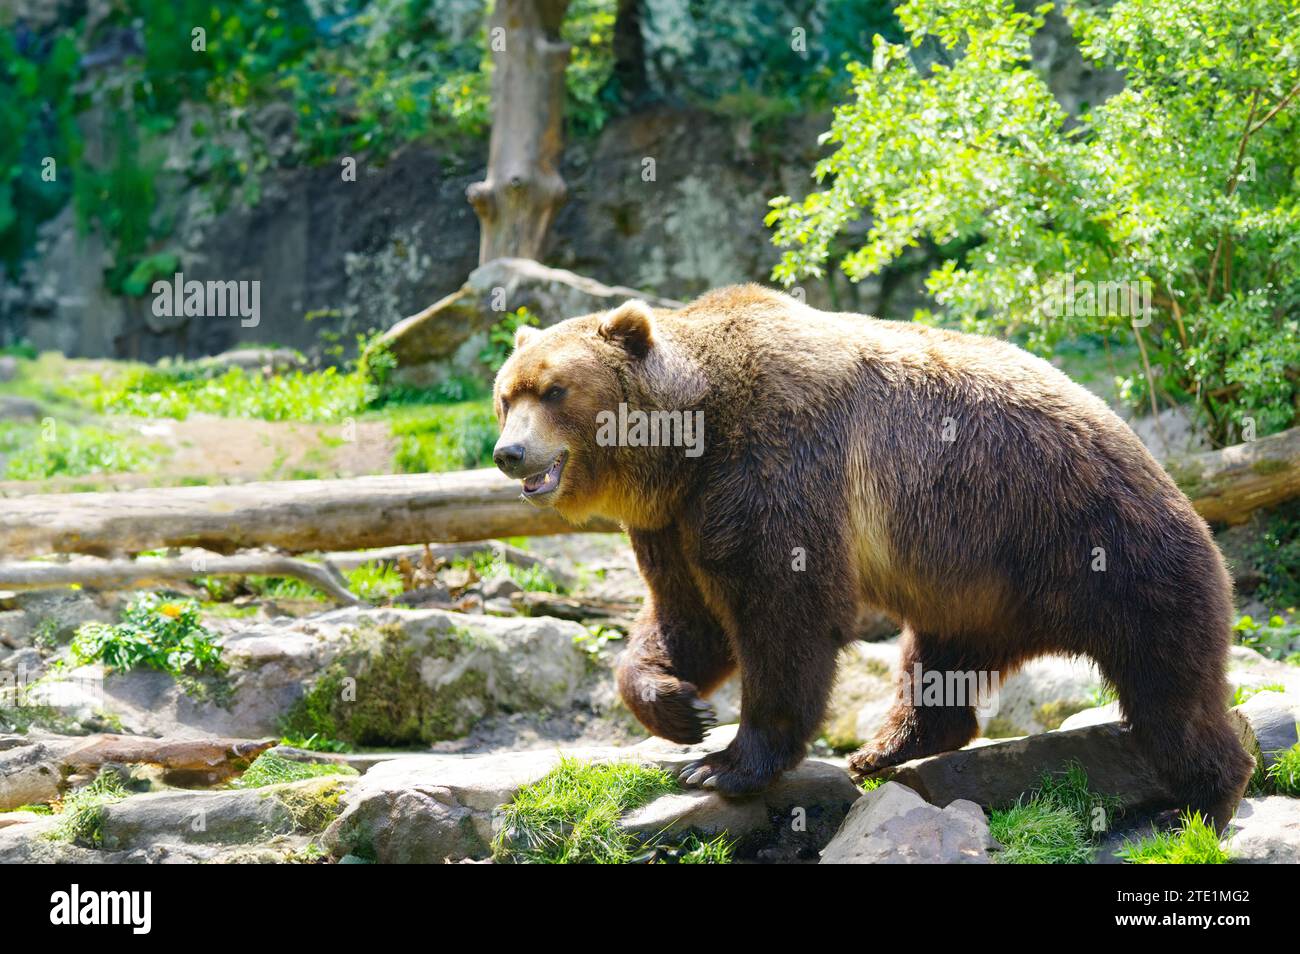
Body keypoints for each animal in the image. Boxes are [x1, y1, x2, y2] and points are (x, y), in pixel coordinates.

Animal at [491, 284, 1253, 830]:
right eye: (507, 395)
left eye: (554, 389)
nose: (509, 453)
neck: (687, 444)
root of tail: (1161, 469)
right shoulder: (674, 519)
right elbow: (688, 617)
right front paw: (679, 708)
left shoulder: (774, 466)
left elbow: (783, 612)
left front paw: (725, 763)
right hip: (974, 582)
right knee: (939, 663)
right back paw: (888, 745)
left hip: (1101, 546)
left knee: (1168, 683)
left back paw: (1203, 802)